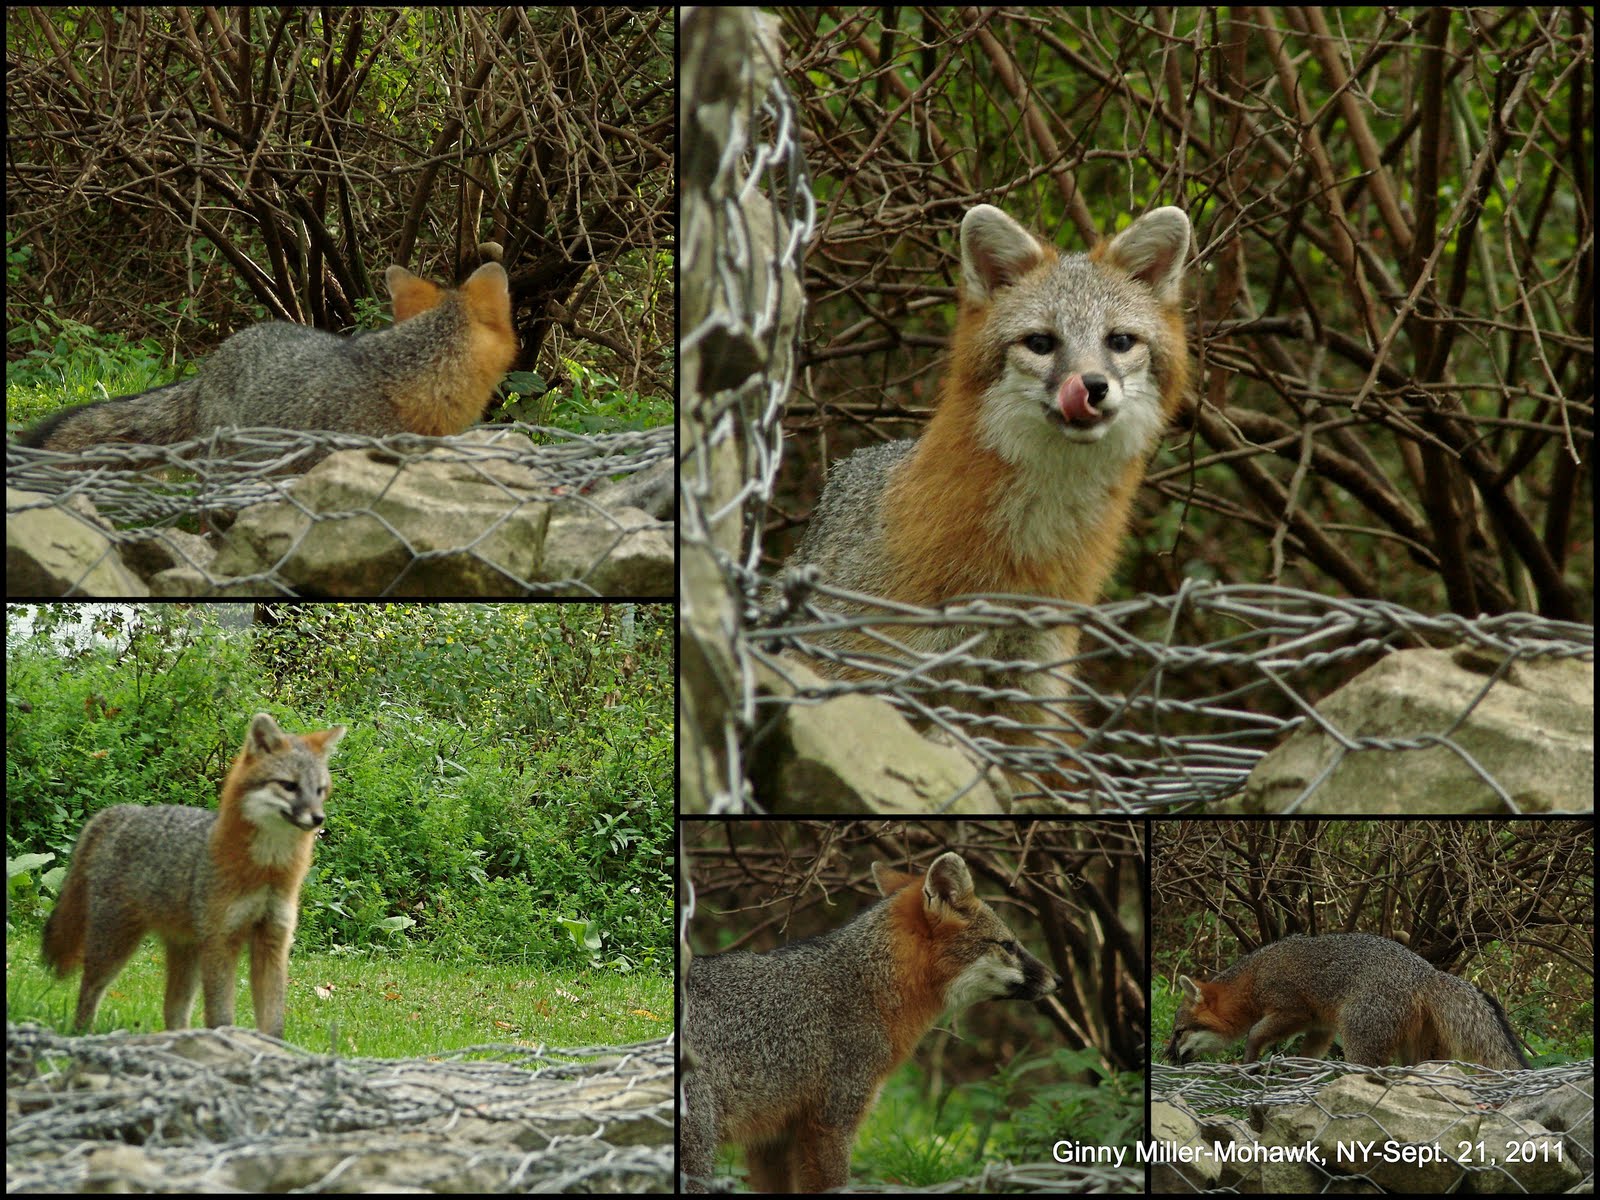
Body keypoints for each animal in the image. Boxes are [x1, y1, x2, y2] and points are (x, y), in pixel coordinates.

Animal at [41, 712, 346, 1038]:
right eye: (289, 786)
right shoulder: (221, 941)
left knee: (172, 1010)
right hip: (114, 944)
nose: (318, 818)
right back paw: (81, 1033)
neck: (266, 870)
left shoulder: (273, 940)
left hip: (186, 955)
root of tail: (122, 811)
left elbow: (273, 1020)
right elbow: (221, 1014)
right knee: (89, 990)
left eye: (320, 790)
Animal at [1165, 933, 1528, 1070]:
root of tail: (1425, 972)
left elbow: (1255, 1033)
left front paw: (1249, 1061)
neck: (1253, 977)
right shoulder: (1321, 1028)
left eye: (1178, 1032)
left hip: (1358, 1040)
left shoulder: (1292, 1010)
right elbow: (1306, 1058)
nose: (1165, 1056)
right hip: (1417, 1051)